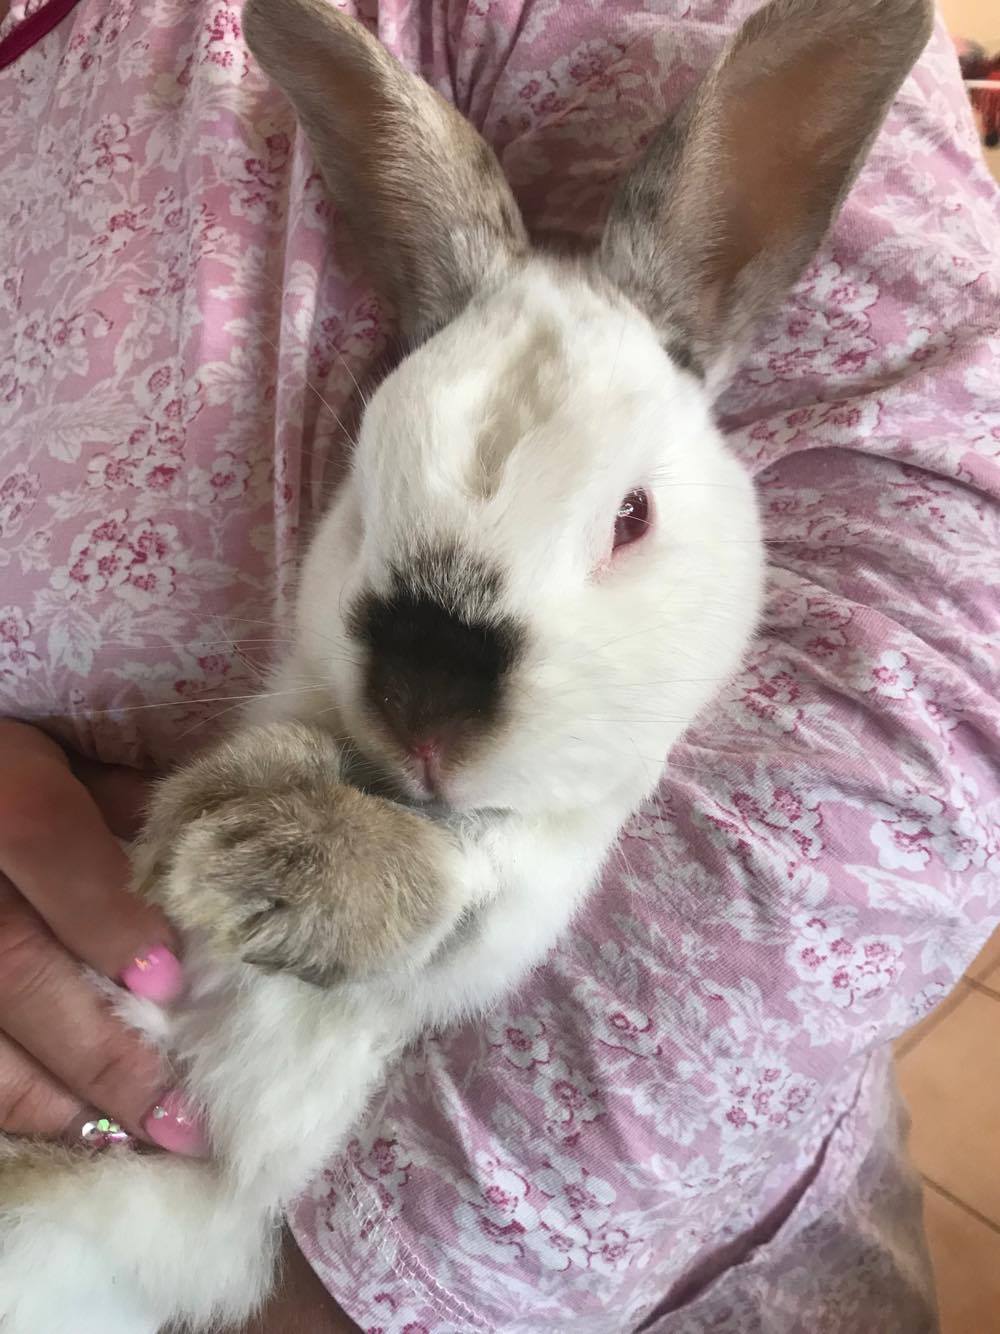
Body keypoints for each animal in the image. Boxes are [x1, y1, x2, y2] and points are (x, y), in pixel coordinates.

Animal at [0, 0, 932, 1330]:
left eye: (629, 518)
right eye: (362, 479)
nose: (425, 707)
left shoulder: (527, 887)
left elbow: (454, 880)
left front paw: (253, 866)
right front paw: (221, 817)